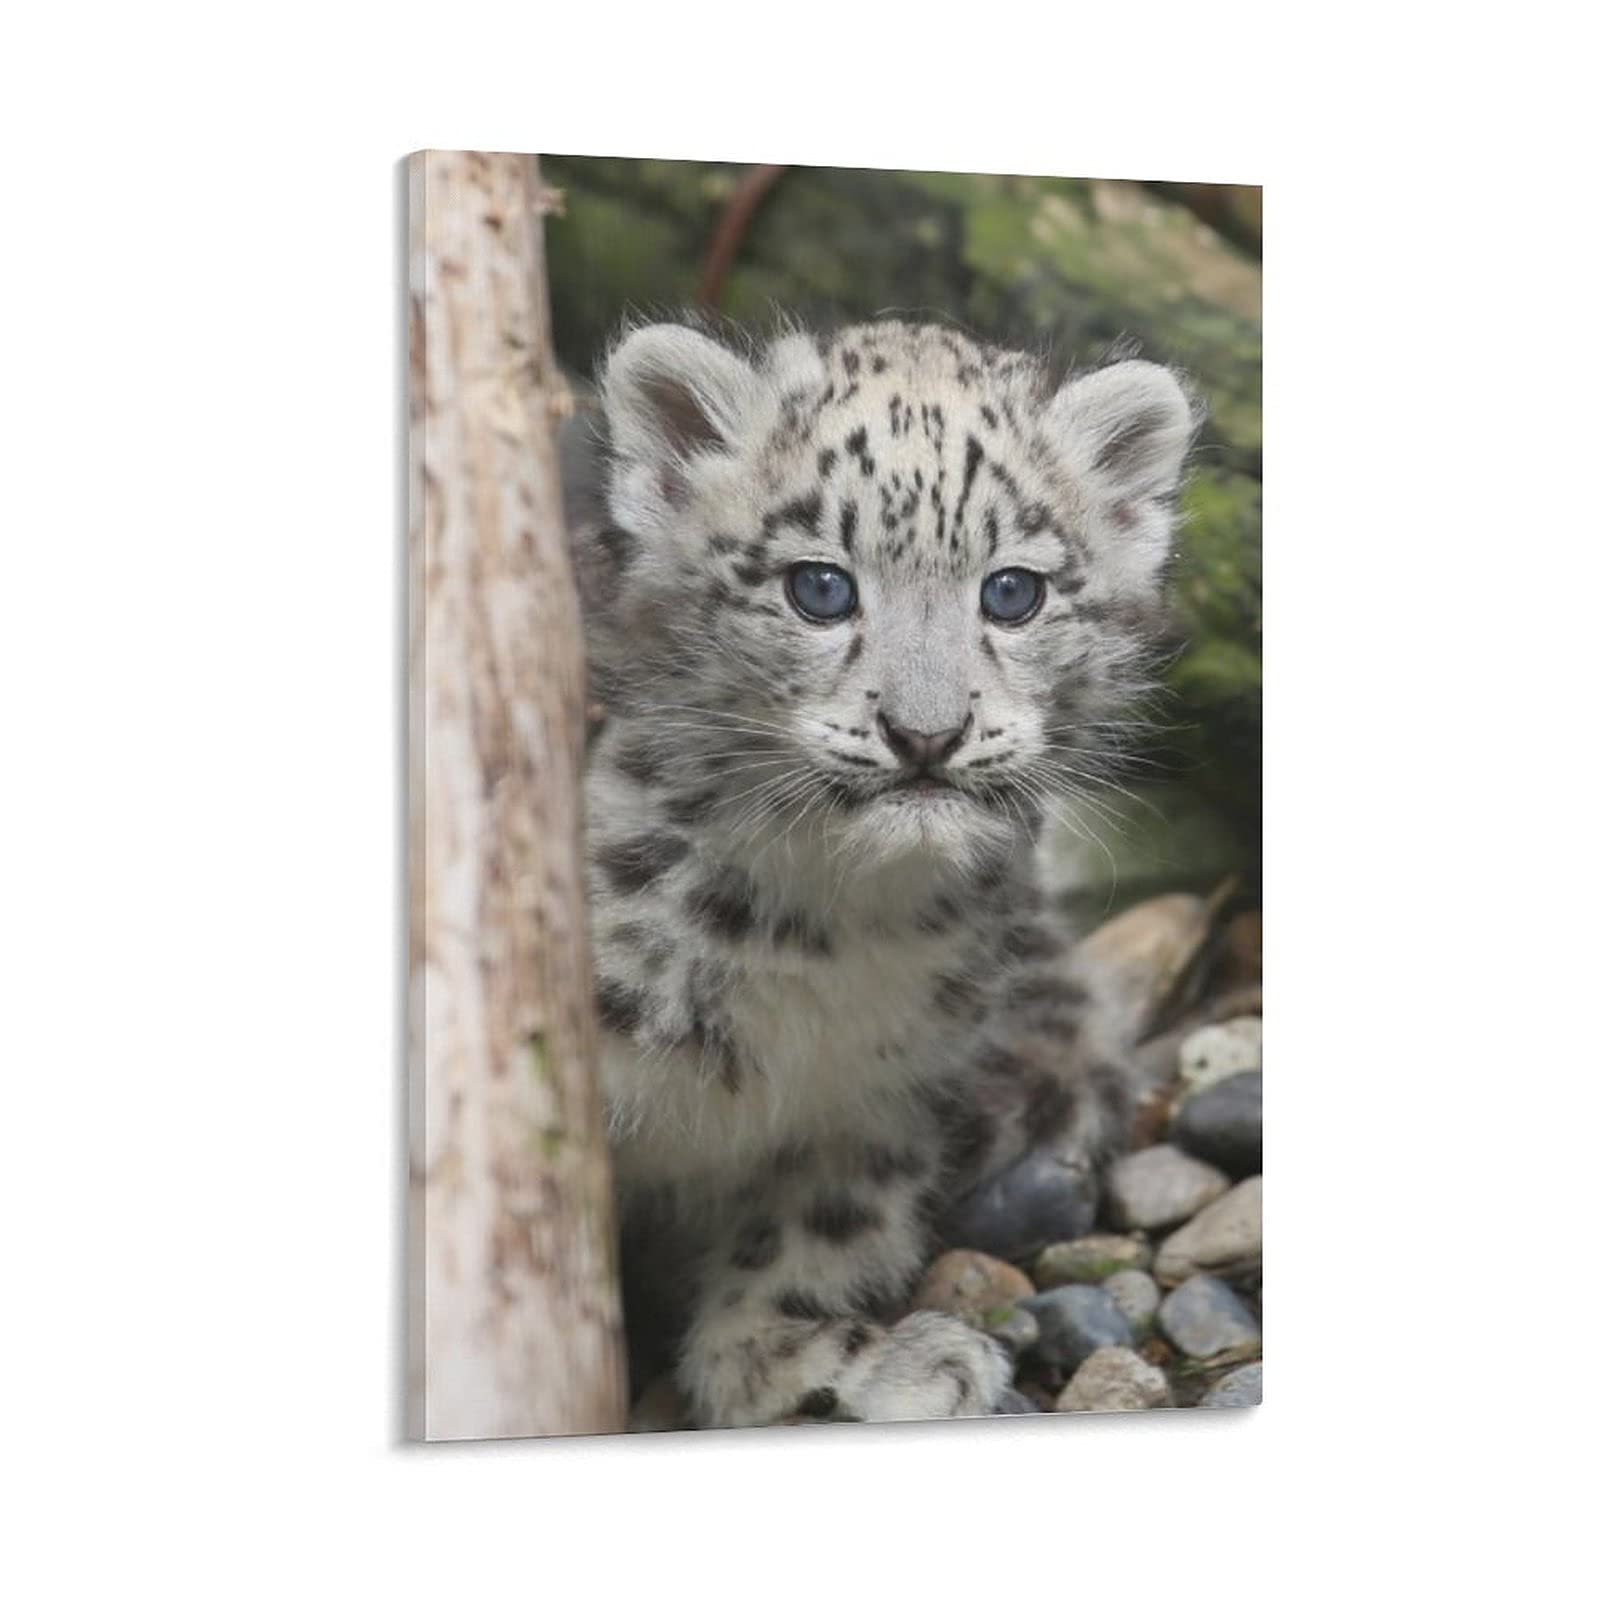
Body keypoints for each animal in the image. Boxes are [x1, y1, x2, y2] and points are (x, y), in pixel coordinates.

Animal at [560, 316, 1197, 1429]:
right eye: (818, 586)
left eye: (1013, 591)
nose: (925, 733)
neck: (818, 929)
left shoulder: (878, 1095)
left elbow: (817, 1232)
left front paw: (807, 1362)